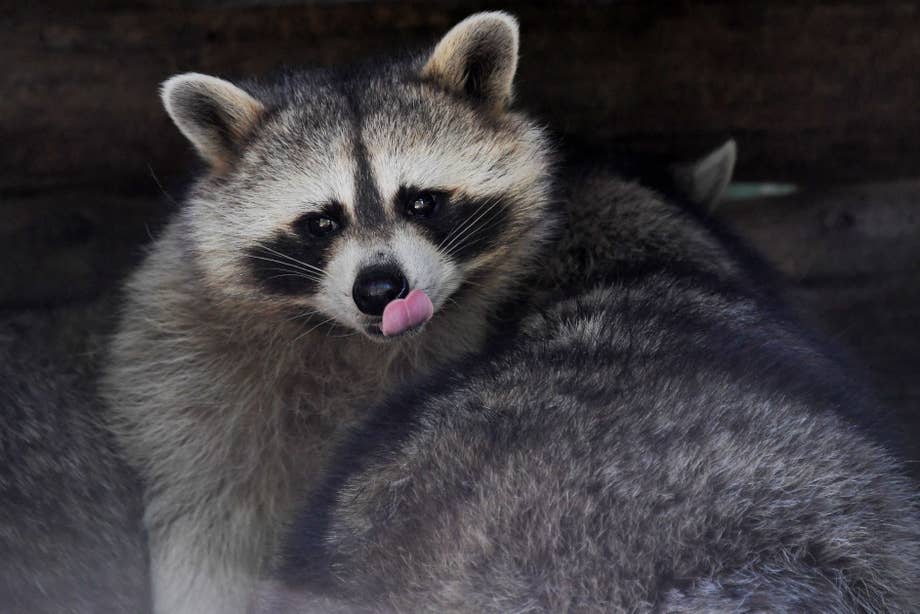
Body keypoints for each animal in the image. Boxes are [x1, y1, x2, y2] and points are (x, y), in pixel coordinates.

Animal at [101, 12, 554, 614]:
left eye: (421, 201)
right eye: (321, 223)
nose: (381, 289)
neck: (350, 341)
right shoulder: (190, 377)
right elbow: (208, 522)